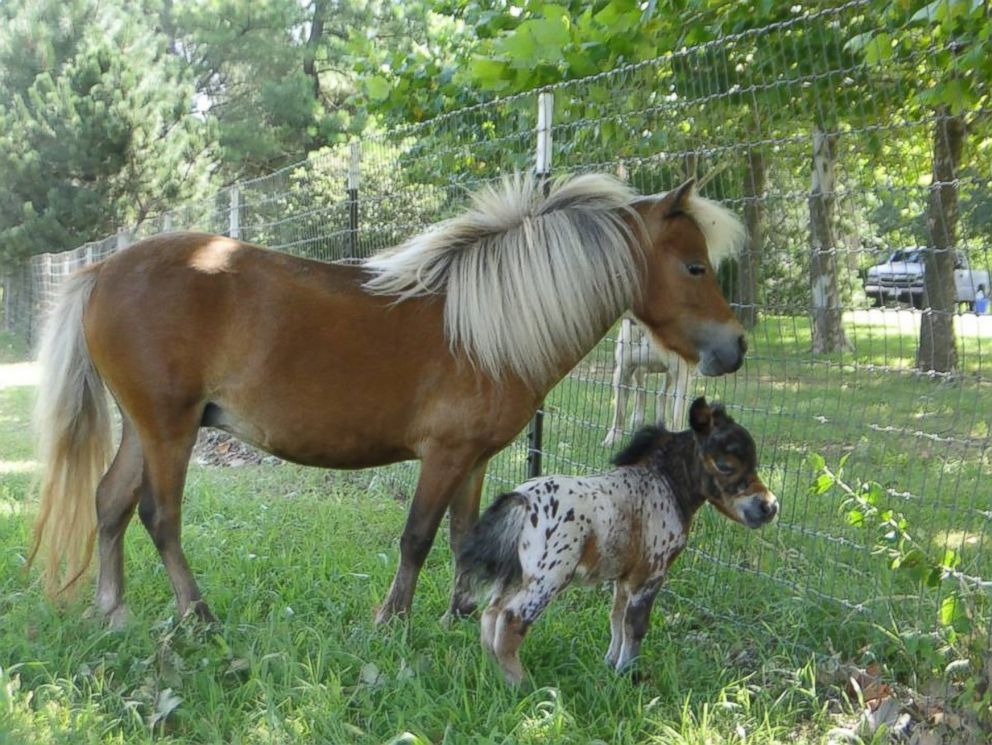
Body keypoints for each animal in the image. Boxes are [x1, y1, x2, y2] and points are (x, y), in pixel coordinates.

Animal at [458, 397, 778, 685]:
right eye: (725, 464)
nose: (769, 507)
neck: (663, 483)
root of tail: (522, 499)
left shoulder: (625, 577)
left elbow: (616, 620)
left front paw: (611, 664)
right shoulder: (651, 573)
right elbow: (635, 626)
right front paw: (628, 673)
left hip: (519, 576)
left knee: (491, 615)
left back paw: (495, 677)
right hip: (549, 577)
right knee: (511, 619)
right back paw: (522, 685)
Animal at [601, 316, 697, 447]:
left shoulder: (681, 374)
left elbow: (677, 416)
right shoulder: (624, 369)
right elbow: (619, 411)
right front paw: (613, 438)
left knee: (662, 394)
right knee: (641, 388)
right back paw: (637, 419)